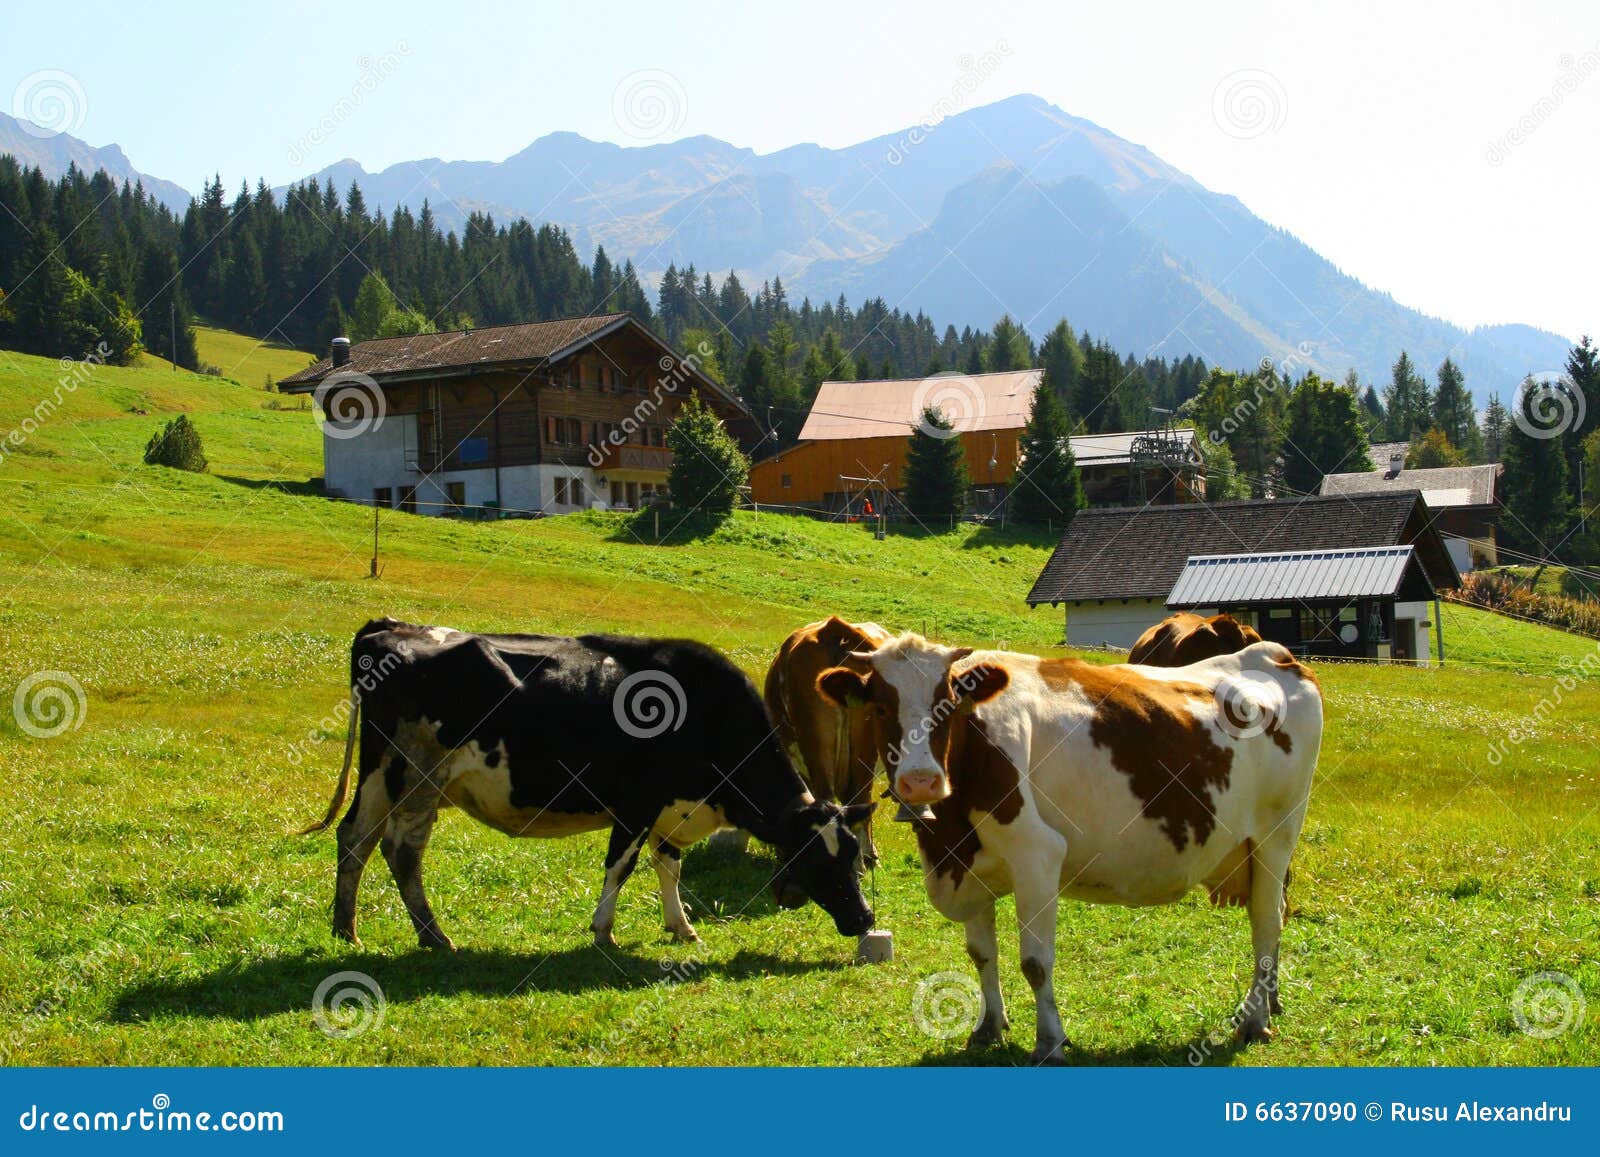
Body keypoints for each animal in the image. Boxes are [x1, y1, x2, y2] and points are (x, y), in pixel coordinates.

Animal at [299, 619, 875, 951]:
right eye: (819, 859)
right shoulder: (636, 803)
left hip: (380, 773)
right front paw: (603, 930)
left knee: (355, 838)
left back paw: (345, 930)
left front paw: (680, 926)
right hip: (419, 775)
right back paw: (434, 936)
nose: (864, 918)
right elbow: (621, 866)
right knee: (401, 850)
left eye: (854, 855)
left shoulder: (671, 808)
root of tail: (388, 627)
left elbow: (669, 865)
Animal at [816, 634, 1321, 1063]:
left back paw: (1255, 1019)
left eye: (951, 705)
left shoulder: (1037, 855)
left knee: (1266, 922)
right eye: (881, 708)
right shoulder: (969, 865)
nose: (921, 780)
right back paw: (1272, 1000)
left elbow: (1035, 963)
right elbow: (982, 954)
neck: (948, 839)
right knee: (1275, 914)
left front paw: (1050, 1042)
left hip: (1276, 835)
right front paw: (987, 1028)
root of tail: (1273, 655)